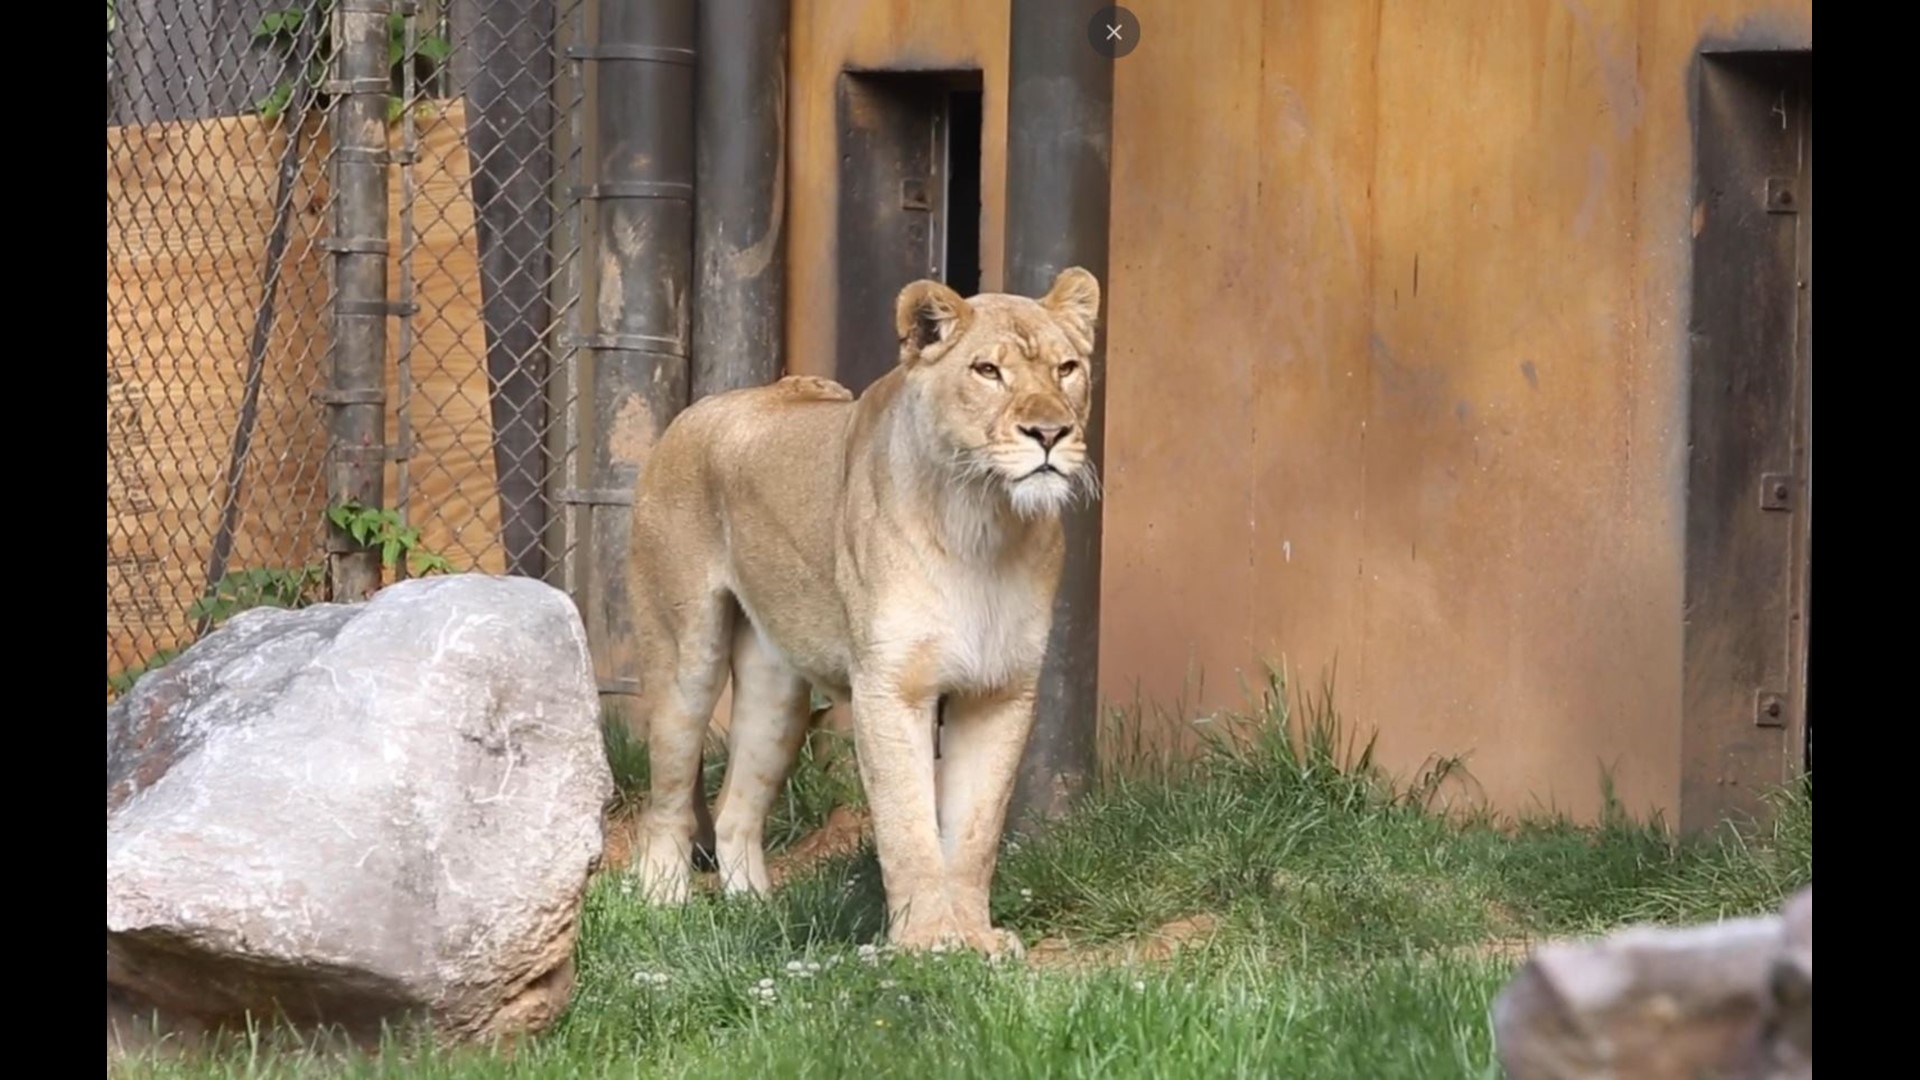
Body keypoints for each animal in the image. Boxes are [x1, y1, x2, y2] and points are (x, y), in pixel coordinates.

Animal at [623, 267, 1103, 958]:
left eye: (1067, 368)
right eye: (987, 371)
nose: (1050, 434)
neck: (983, 522)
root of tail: (695, 412)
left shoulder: (1002, 689)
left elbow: (975, 832)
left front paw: (975, 938)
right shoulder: (891, 687)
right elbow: (908, 824)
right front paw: (927, 941)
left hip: (777, 692)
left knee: (738, 807)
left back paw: (756, 915)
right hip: (683, 654)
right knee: (665, 795)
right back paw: (665, 903)